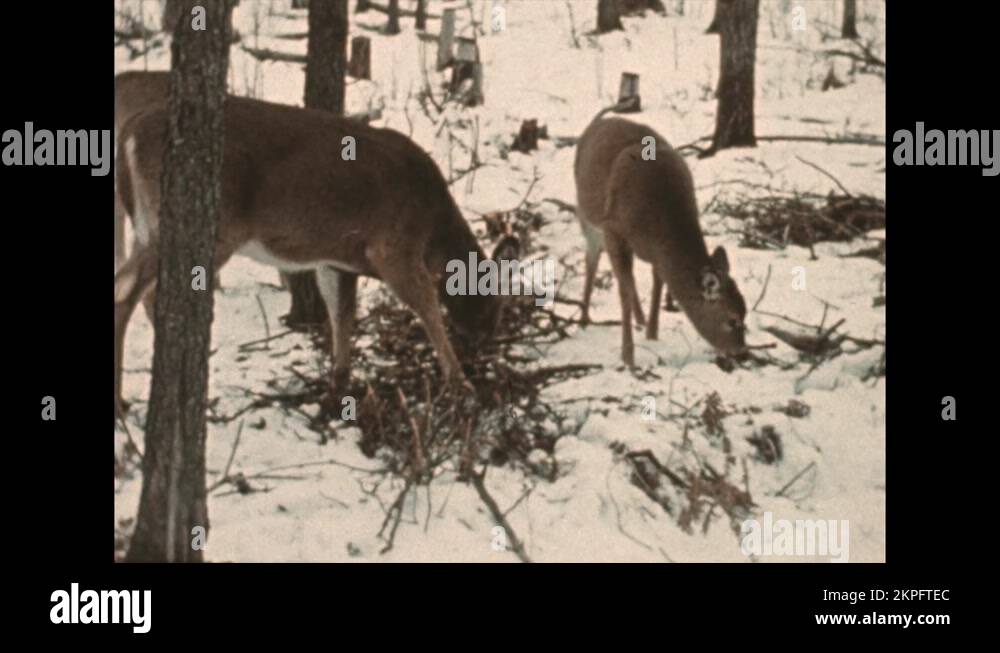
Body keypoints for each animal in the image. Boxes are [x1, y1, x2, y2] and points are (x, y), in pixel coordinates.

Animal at [114, 91, 515, 418]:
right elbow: (428, 307)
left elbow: (342, 314)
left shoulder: (337, 260)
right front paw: (461, 385)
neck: (433, 228)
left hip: (146, 227)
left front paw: (338, 385)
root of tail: (129, 132)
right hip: (209, 229)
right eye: (495, 298)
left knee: (134, 287)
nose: (488, 337)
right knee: (133, 293)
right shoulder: (393, 246)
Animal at [574, 116, 747, 367]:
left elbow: (658, 283)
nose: (743, 353)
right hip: (586, 215)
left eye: (745, 312)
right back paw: (584, 319)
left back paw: (640, 320)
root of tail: (600, 121)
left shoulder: (657, 254)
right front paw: (628, 357)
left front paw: (652, 335)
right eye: (732, 319)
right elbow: (623, 292)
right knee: (592, 262)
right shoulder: (614, 229)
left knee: (627, 276)